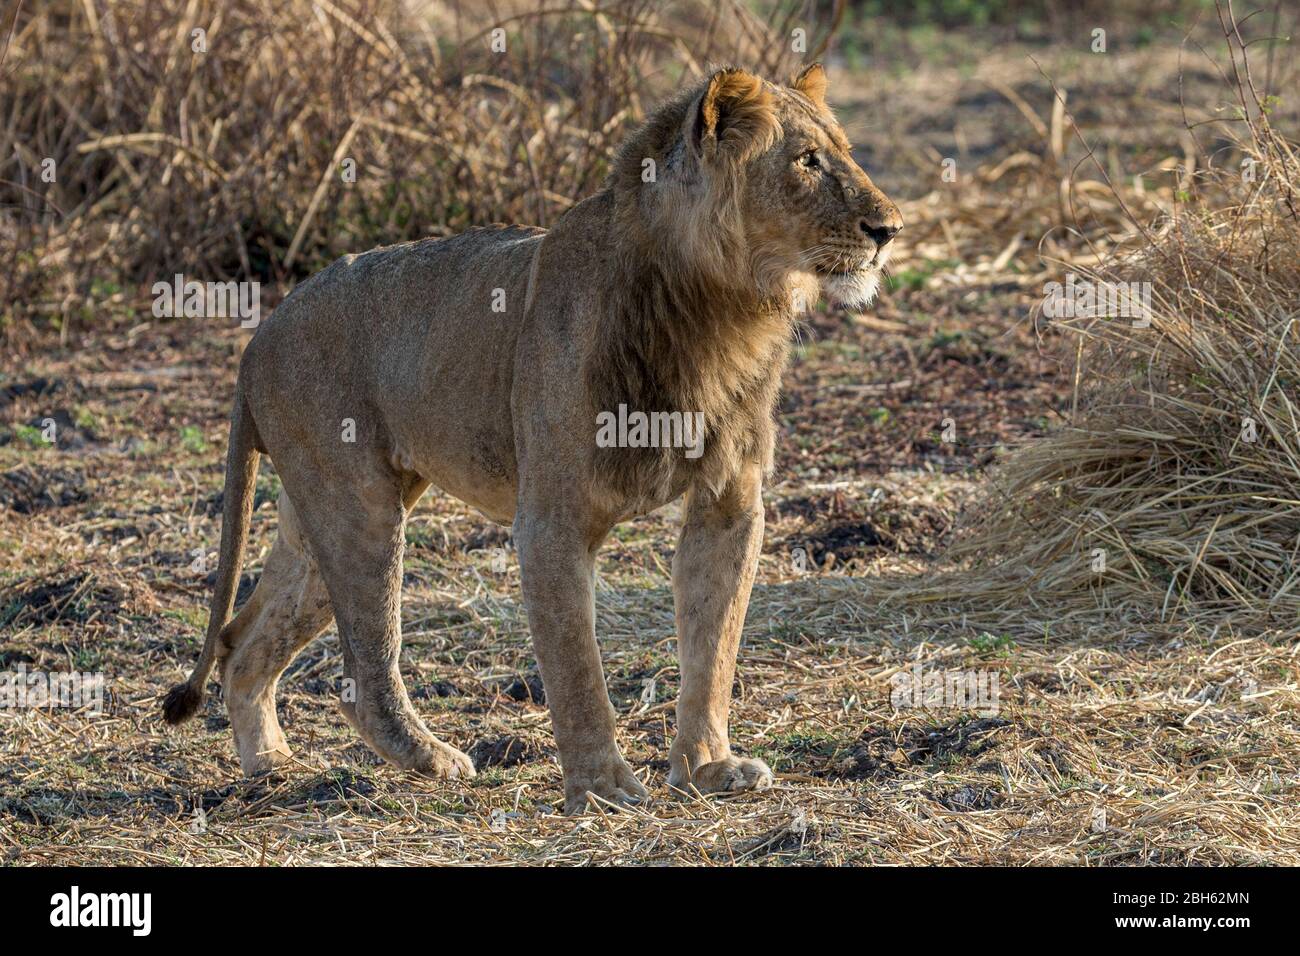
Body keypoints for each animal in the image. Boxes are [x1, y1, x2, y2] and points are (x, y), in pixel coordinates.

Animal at [162, 64, 902, 814]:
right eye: (807, 160)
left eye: (845, 151)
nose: (890, 229)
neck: (718, 308)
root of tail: (258, 335)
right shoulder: (551, 519)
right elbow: (576, 667)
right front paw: (602, 788)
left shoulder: (729, 504)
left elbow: (712, 646)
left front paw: (707, 767)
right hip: (357, 505)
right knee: (363, 667)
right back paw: (431, 760)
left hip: (315, 517)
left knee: (243, 641)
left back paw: (269, 766)